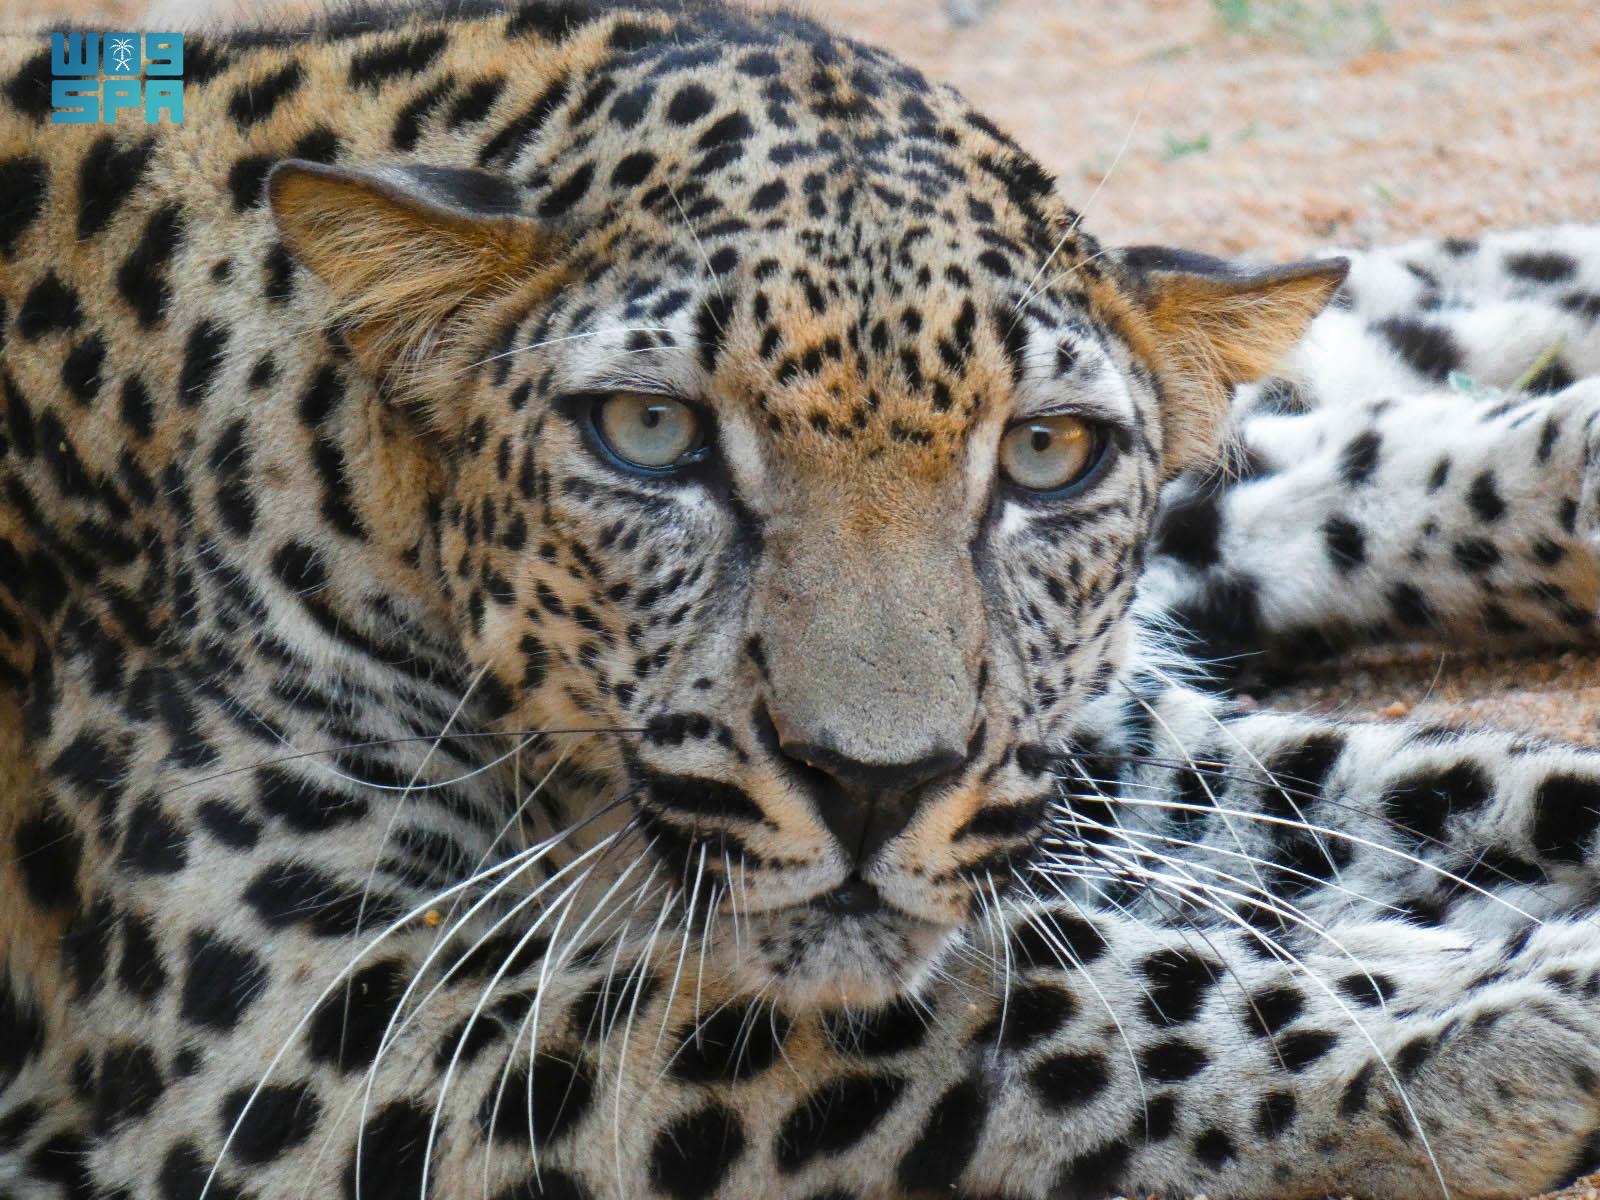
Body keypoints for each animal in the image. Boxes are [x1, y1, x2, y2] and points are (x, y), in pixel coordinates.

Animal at [3, 3, 1600, 1199]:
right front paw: (1498, 1014)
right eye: (649, 436)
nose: (872, 784)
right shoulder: (308, 1022)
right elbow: (1028, 997)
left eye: (1048, 455)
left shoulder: (1083, 756)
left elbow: (1444, 793)